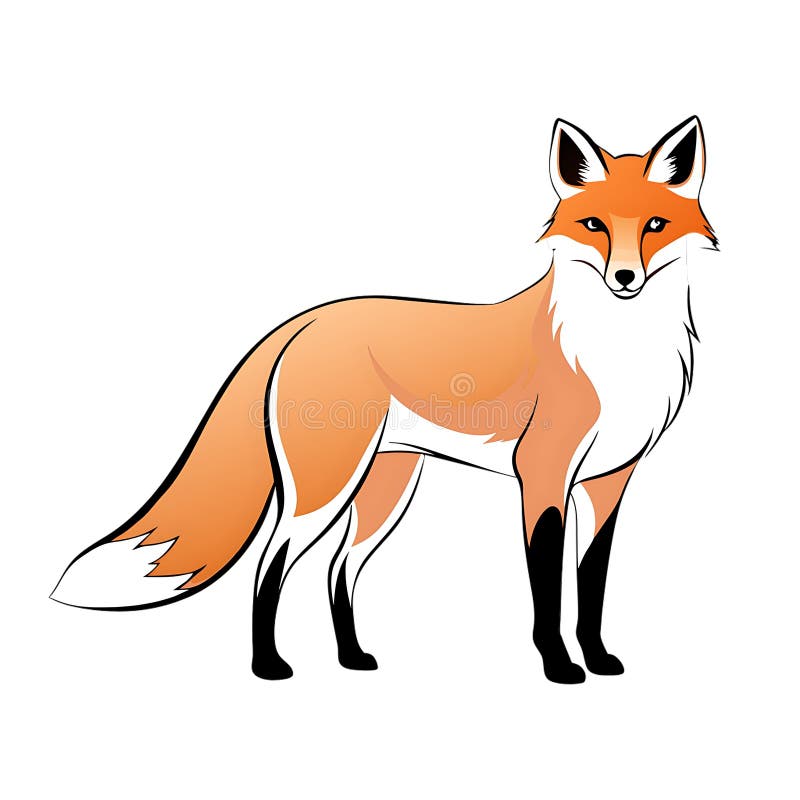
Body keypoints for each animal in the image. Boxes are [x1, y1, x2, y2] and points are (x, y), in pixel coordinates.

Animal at [52, 117, 716, 684]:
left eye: (655, 225)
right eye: (594, 226)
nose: (625, 278)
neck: (617, 352)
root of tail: (304, 320)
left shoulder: (608, 485)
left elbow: (592, 590)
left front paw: (599, 660)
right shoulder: (542, 476)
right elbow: (547, 595)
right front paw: (558, 665)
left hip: (386, 490)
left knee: (336, 570)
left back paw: (351, 657)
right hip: (324, 489)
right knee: (270, 565)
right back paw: (269, 665)